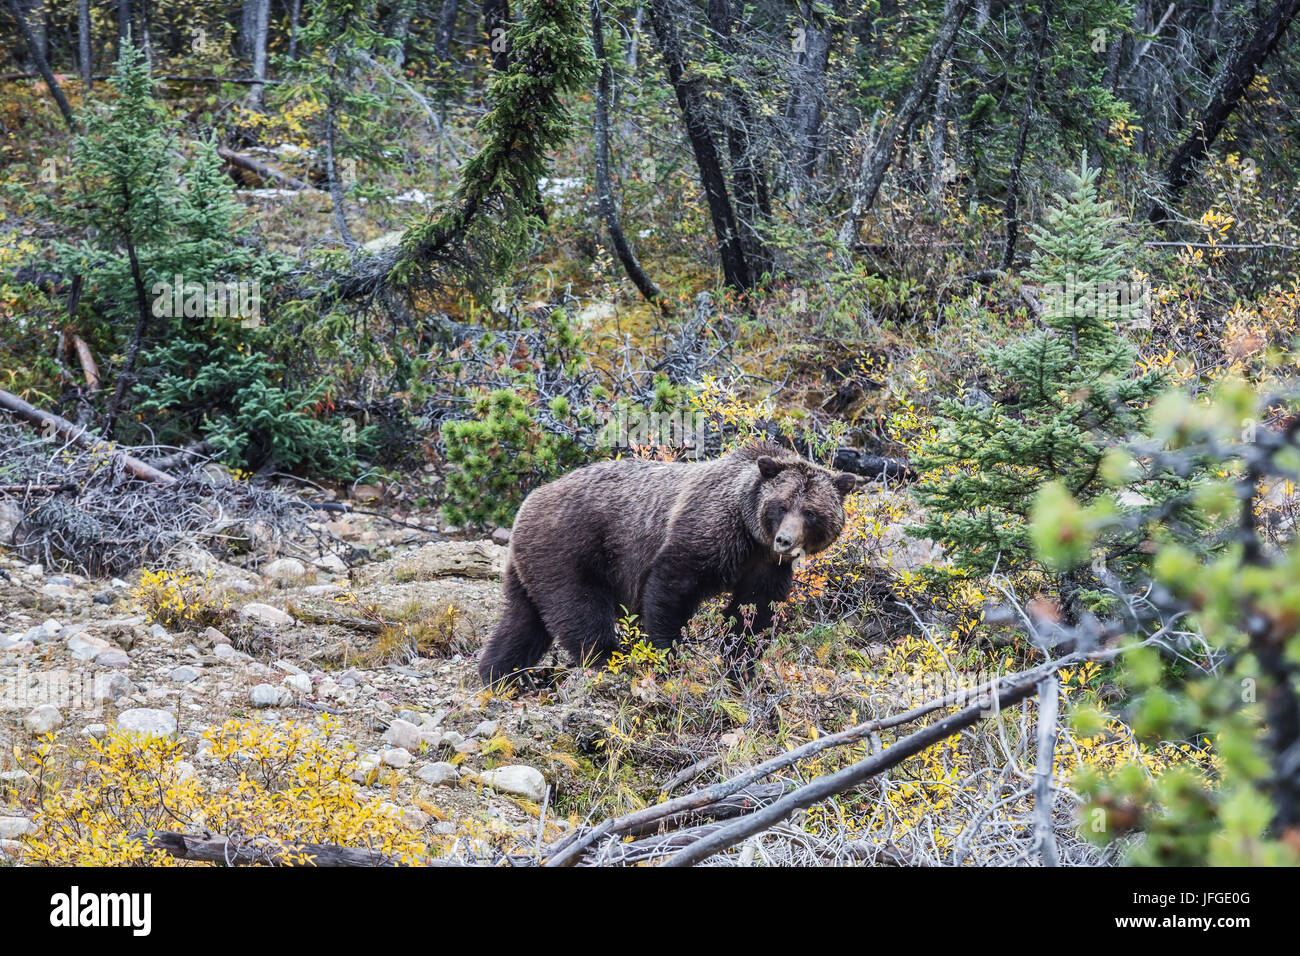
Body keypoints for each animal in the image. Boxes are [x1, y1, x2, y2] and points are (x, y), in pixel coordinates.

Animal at [478, 441, 858, 687]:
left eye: (811, 512)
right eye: (781, 505)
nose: (785, 541)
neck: (751, 536)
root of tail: (530, 499)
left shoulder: (765, 567)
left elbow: (754, 613)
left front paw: (741, 669)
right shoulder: (710, 531)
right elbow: (672, 586)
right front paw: (667, 658)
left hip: (530, 565)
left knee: (523, 621)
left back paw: (499, 675)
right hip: (571, 547)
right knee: (579, 608)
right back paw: (609, 659)